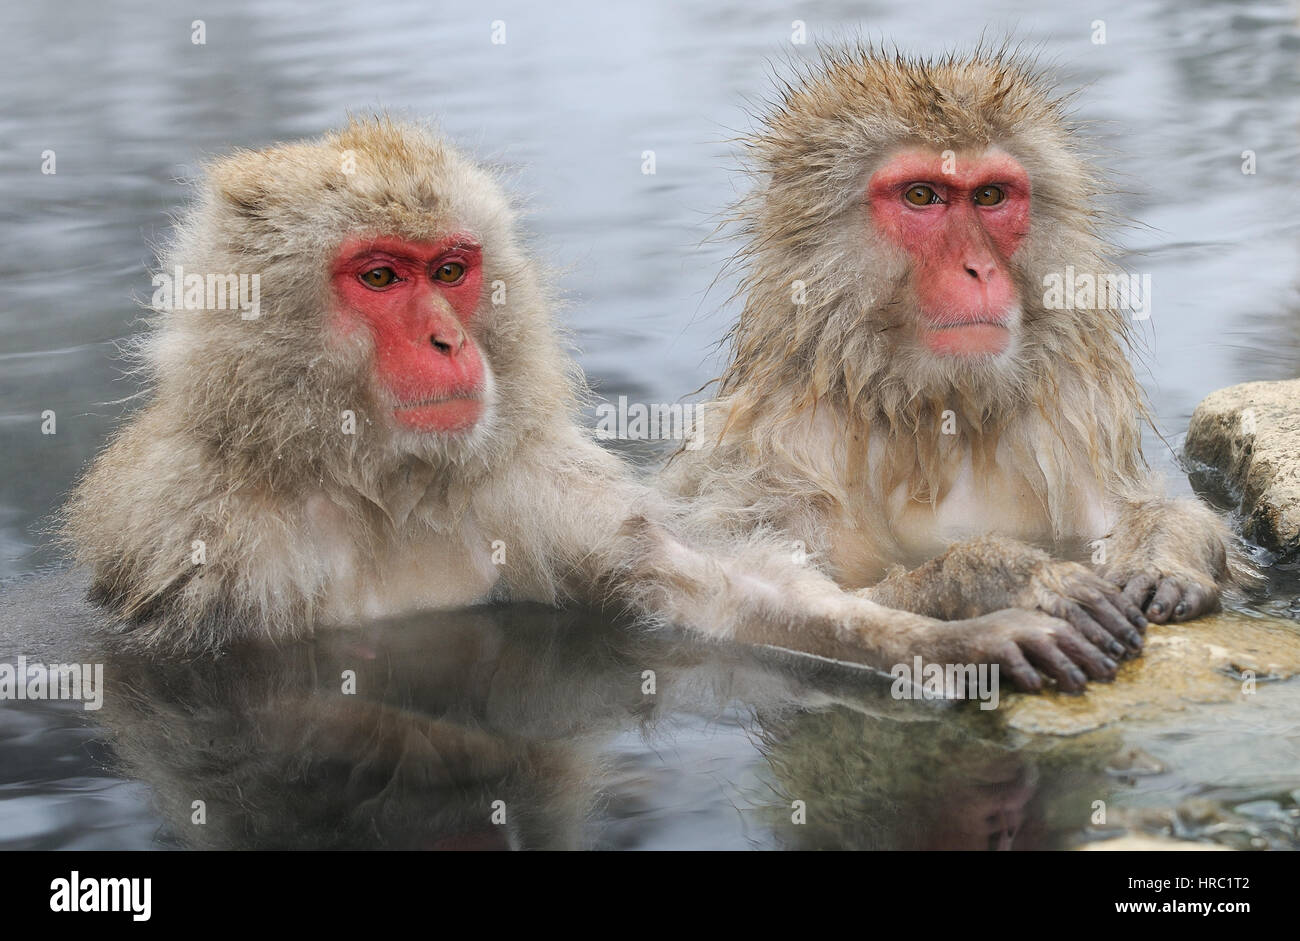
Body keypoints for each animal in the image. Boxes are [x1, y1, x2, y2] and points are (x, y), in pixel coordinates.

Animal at [60, 116, 1125, 691]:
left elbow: (706, 591)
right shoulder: (193, 547)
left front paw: (956, 630)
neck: (372, 483)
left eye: (451, 269)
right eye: (379, 275)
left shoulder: (527, 487)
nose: (448, 340)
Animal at [663, 45, 1237, 676]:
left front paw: (1164, 554)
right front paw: (998, 578)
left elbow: (1125, 512)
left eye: (989, 196)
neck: (931, 410)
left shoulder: (1066, 407)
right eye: (922, 196)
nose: (978, 269)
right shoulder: (774, 451)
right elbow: (757, 589)